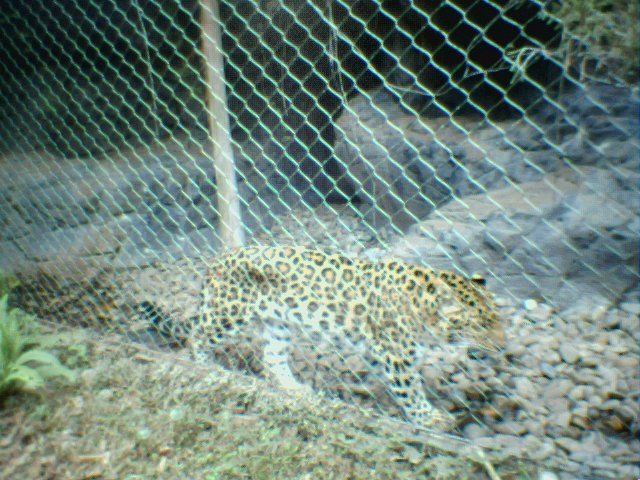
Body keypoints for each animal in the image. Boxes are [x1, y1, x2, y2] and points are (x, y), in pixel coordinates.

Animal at [153, 245, 505, 431]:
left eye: (498, 319)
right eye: (481, 324)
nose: (502, 345)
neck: (425, 311)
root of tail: (218, 260)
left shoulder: (380, 350)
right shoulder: (395, 354)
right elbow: (410, 389)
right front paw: (429, 417)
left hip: (277, 324)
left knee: (271, 359)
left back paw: (295, 389)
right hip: (229, 312)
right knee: (197, 336)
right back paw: (208, 368)